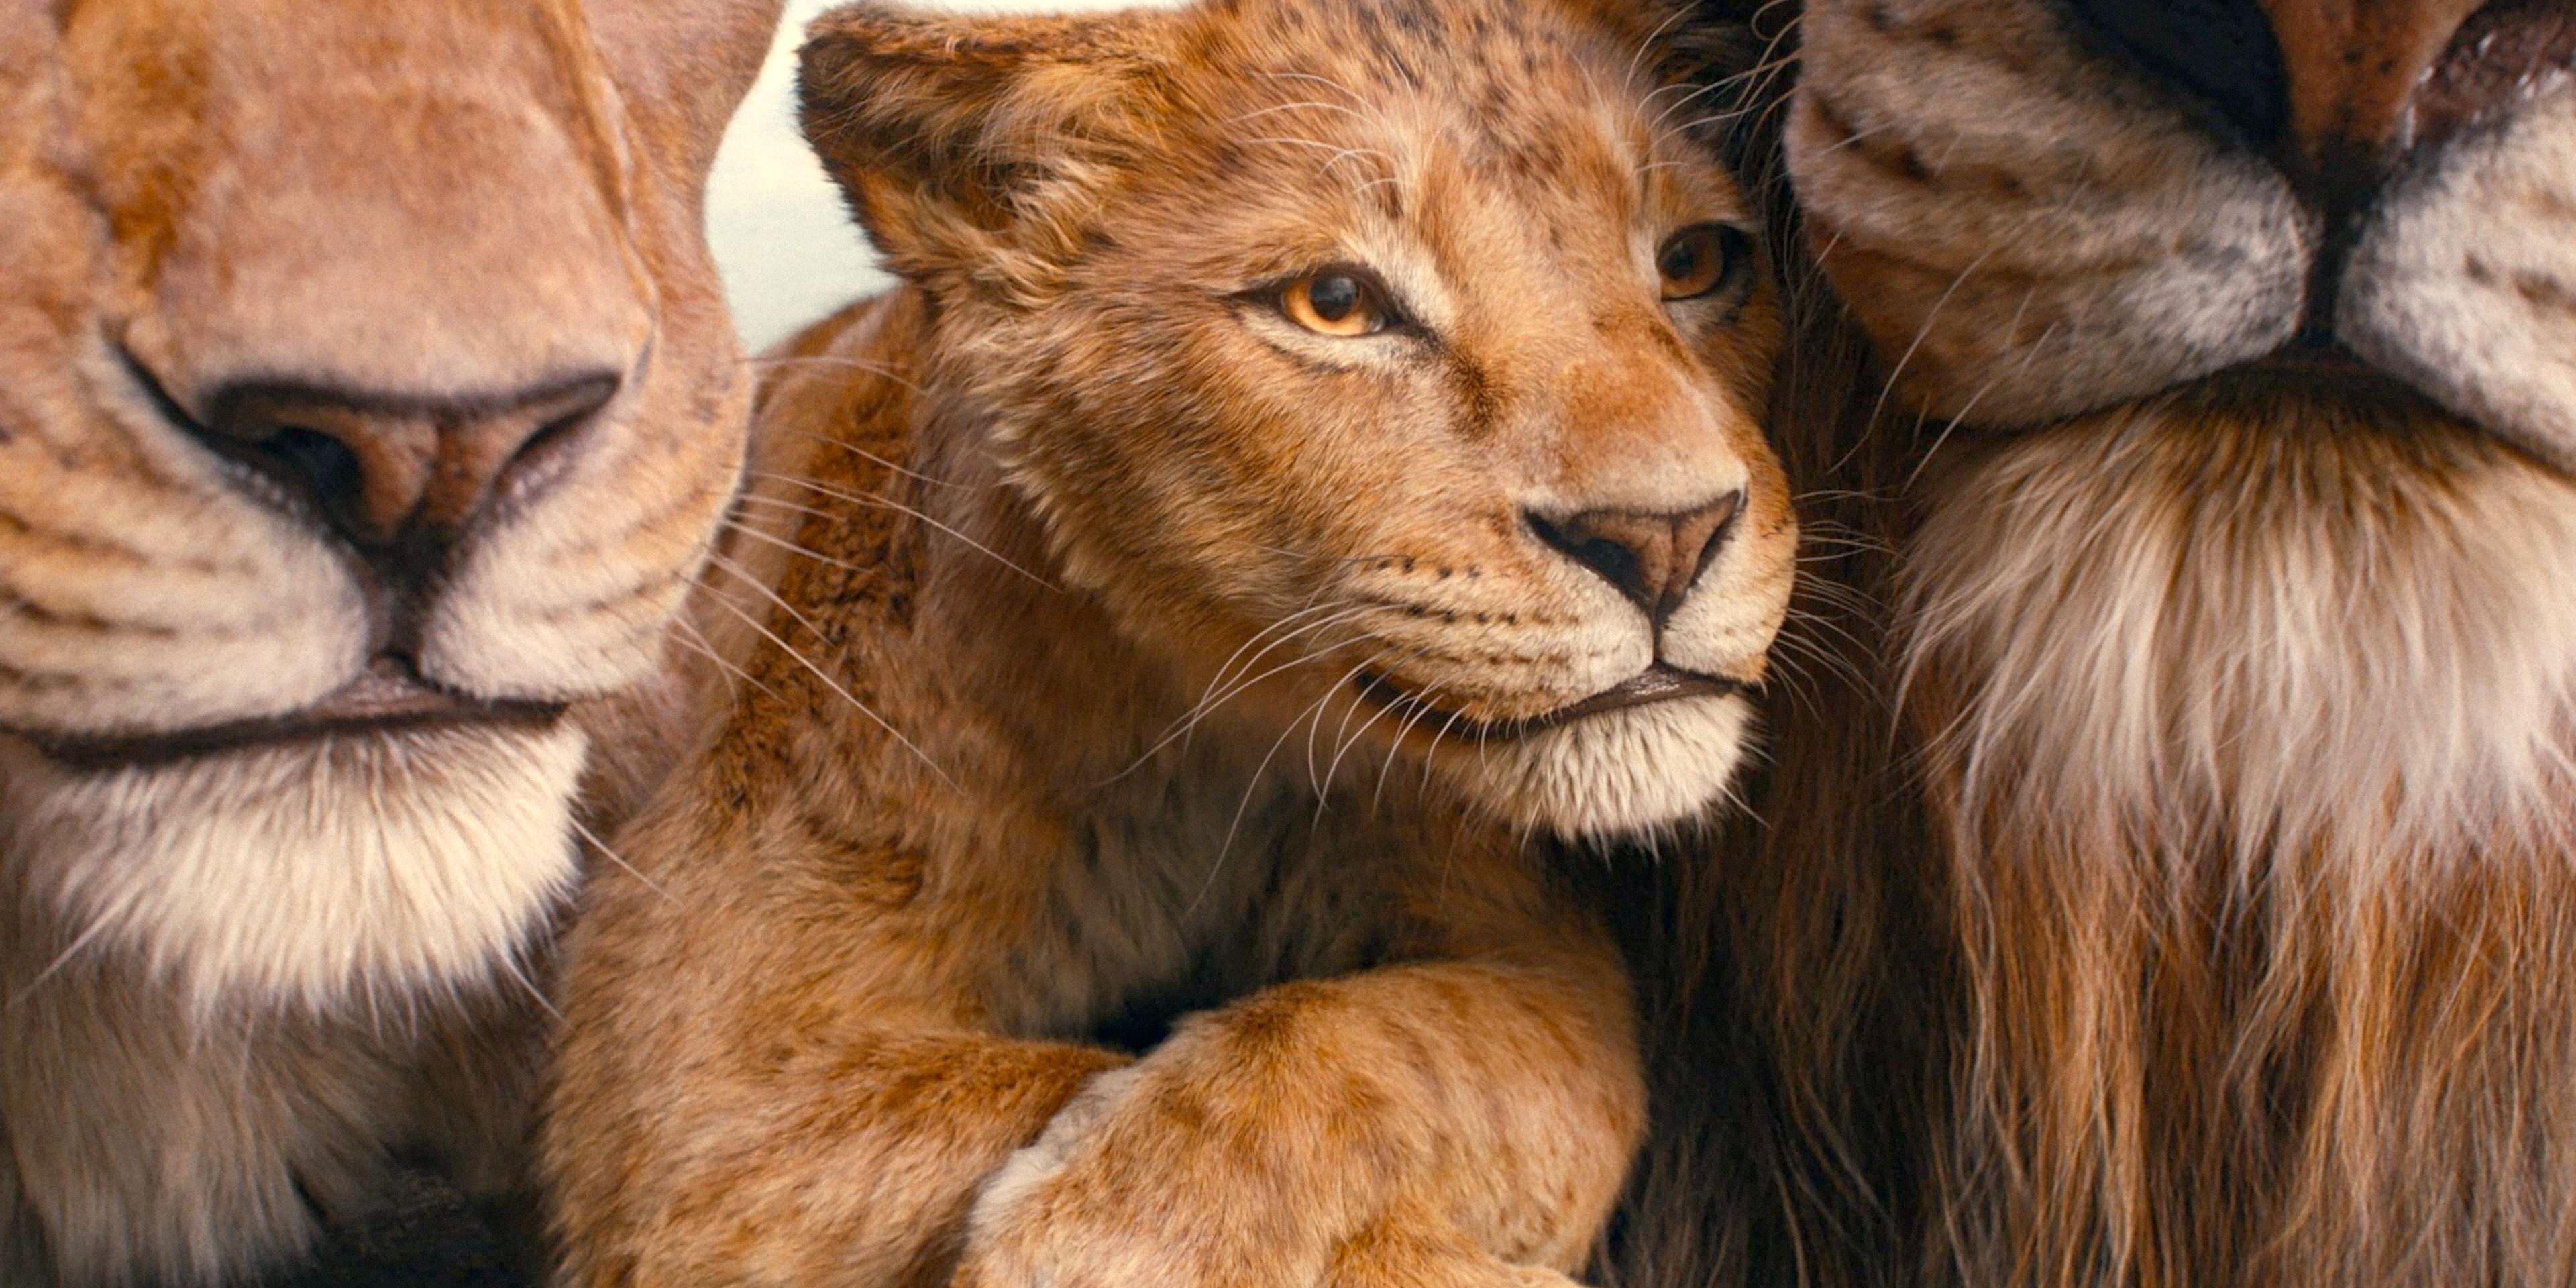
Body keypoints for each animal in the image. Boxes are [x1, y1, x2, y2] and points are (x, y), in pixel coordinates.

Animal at [537, 0, 1797, 1282]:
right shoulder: (700, 1074)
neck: (1197, 742)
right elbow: (1021, 1086)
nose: (1667, 538)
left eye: (1695, 263)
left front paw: (1129, 1215)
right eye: (1335, 302)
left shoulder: (1534, 959)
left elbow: (1435, 1051)